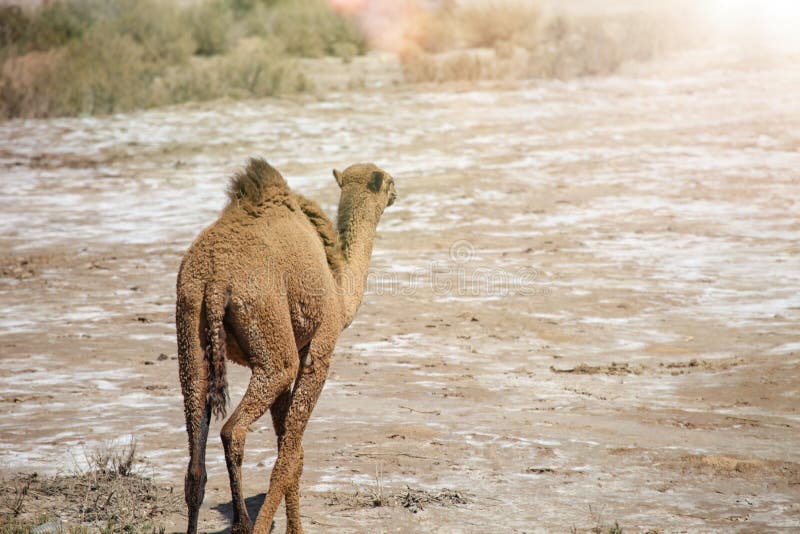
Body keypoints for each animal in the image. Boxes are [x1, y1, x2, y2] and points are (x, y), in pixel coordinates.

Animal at [175, 158, 396, 534]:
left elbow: (287, 445)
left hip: (191, 329)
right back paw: (247, 524)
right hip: (270, 337)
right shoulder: (319, 345)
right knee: (233, 431)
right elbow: (291, 453)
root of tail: (216, 280)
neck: (340, 285)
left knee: (195, 456)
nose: (397, 192)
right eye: (389, 182)